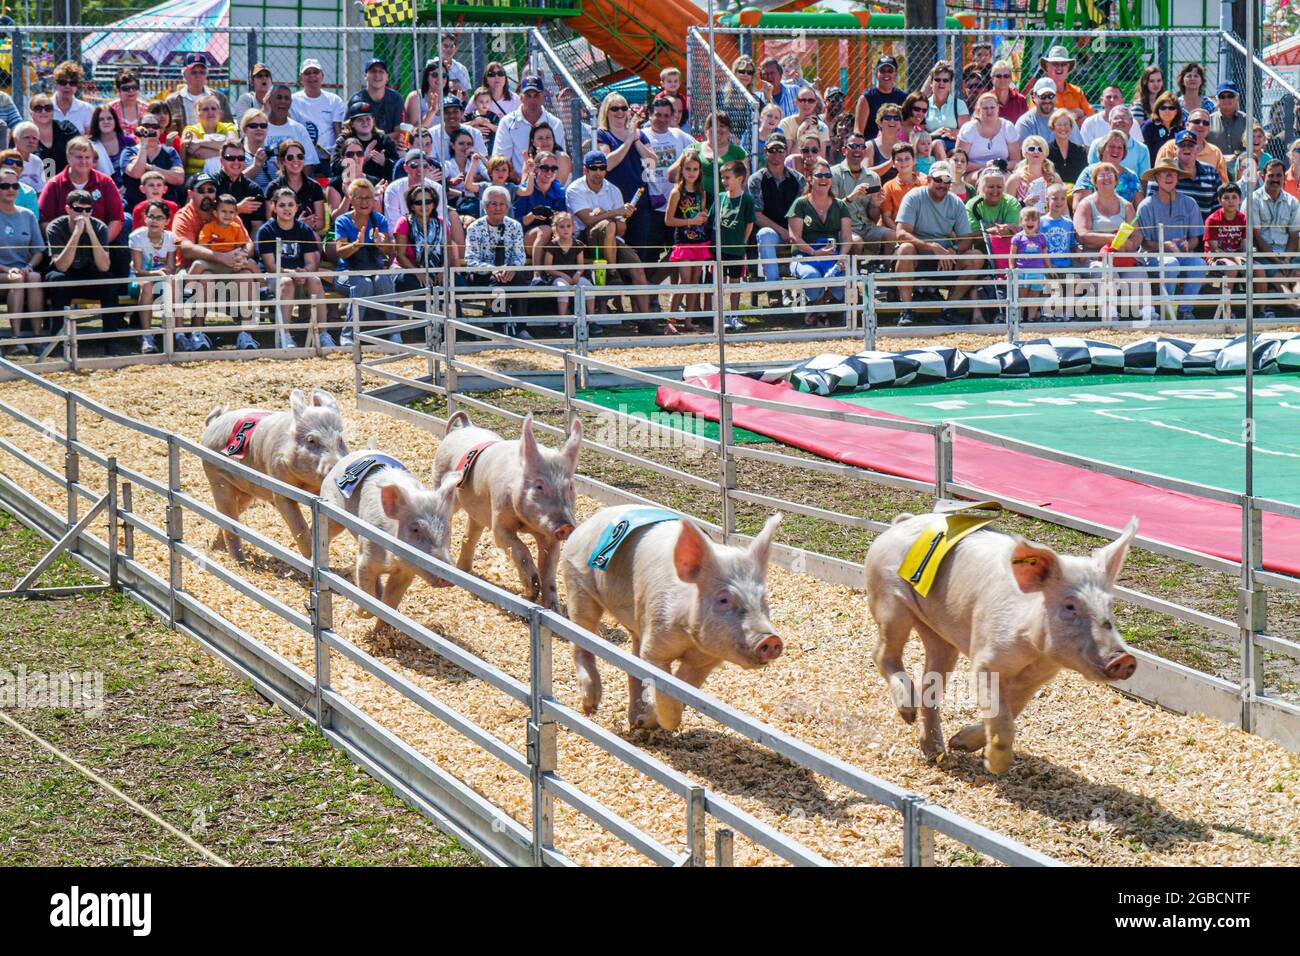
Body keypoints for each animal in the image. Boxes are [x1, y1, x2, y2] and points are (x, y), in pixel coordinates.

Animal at [200, 388, 349, 563]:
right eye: (311, 440)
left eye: (340, 440)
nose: (336, 466)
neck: (306, 485)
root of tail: (213, 424)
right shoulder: (279, 484)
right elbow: (298, 526)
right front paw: (309, 557)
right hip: (216, 478)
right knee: (229, 518)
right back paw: (239, 561)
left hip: (246, 492)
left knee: (230, 514)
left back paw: (216, 548)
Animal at [322, 450, 461, 614]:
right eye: (415, 528)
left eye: (446, 529)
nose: (448, 578)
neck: (392, 562)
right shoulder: (366, 557)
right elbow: (365, 594)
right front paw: (357, 608)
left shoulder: (406, 572)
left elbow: (389, 603)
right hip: (332, 514)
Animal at [432, 410, 581, 609]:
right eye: (539, 486)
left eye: (570, 487)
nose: (566, 526)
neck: (525, 524)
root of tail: (464, 426)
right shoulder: (499, 519)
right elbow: (519, 548)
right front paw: (532, 592)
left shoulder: (549, 535)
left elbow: (549, 568)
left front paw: (552, 608)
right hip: (440, 478)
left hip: (477, 512)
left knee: (470, 535)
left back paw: (463, 570)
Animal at [561, 505, 784, 731]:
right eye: (723, 599)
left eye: (763, 599)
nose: (771, 639)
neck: (688, 638)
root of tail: (587, 523)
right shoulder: (657, 642)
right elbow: (667, 699)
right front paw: (655, 721)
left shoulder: (705, 660)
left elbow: (681, 691)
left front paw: (644, 720)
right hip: (577, 584)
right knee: (581, 639)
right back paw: (590, 707)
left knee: (633, 662)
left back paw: (633, 721)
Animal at [863, 512, 1139, 774]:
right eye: (1070, 606)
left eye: (1109, 606)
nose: (1125, 658)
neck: (1033, 652)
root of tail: (901, 523)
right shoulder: (986, 660)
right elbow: (1000, 713)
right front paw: (996, 766)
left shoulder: (1037, 678)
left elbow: (1012, 711)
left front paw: (959, 743)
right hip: (890, 600)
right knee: (882, 652)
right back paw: (907, 714)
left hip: (938, 633)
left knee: (930, 685)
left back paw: (938, 752)